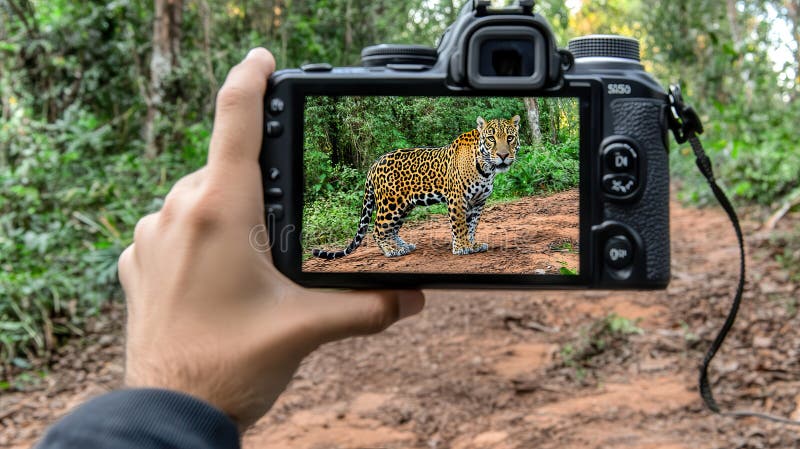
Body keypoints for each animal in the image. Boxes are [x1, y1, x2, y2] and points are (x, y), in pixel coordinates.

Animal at [312, 115, 521, 259]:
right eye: (491, 138)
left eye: (510, 138)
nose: (503, 155)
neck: (486, 168)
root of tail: (374, 165)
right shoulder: (457, 199)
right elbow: (460, 225)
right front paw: (462, 247)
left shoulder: (478, 202)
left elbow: (472, 225)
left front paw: (473, 244)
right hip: (390, 204)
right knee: (378, 229)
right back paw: (392, 251)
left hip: (404, 206)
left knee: (392, 229)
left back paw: (403, 246)